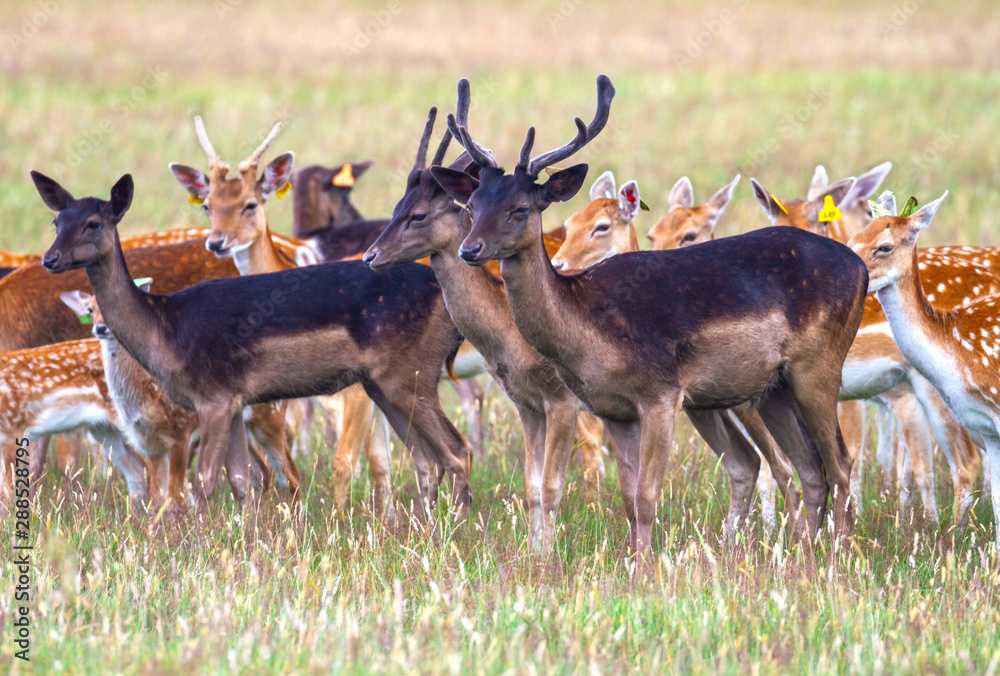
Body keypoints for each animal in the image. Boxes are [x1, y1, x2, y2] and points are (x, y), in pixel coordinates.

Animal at [33, 170, 472, 518]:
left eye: (93, 223)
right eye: (56, 220)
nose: (50, 259)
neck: (166, 330)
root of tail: (445, 300)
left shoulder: (213, 396)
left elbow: (205, 480)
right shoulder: (235, 399)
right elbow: (242, 480)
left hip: (409, 375)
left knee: (456, 450)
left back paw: (459, 530)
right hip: (380, 382)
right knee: (426, 457)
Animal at [167, 116, 389, 513]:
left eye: (250, 204)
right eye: (207, 205)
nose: (217, 242)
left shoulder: (354, 391)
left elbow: (344, 460)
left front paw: (339, 518)